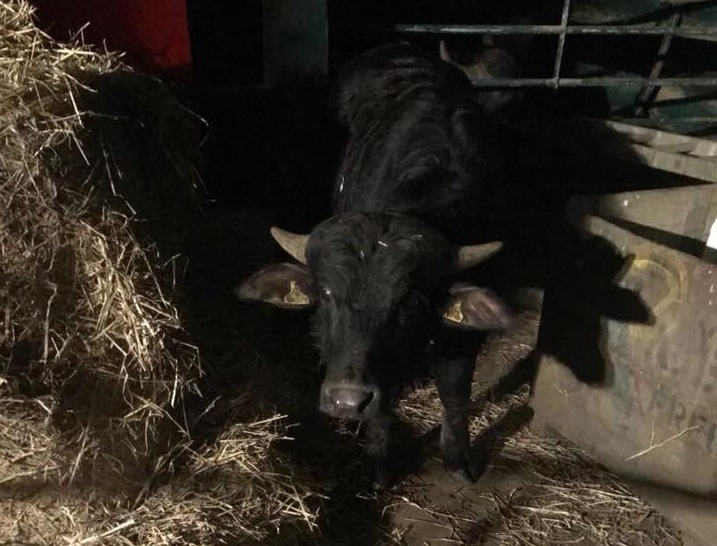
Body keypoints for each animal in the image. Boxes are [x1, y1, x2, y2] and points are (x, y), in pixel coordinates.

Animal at [237, 43, 513, 486]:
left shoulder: (463, 336)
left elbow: (455, 390)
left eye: (411, 302)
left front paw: (457, 458)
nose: (347, 402)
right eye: (326, 295)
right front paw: (379, 462)